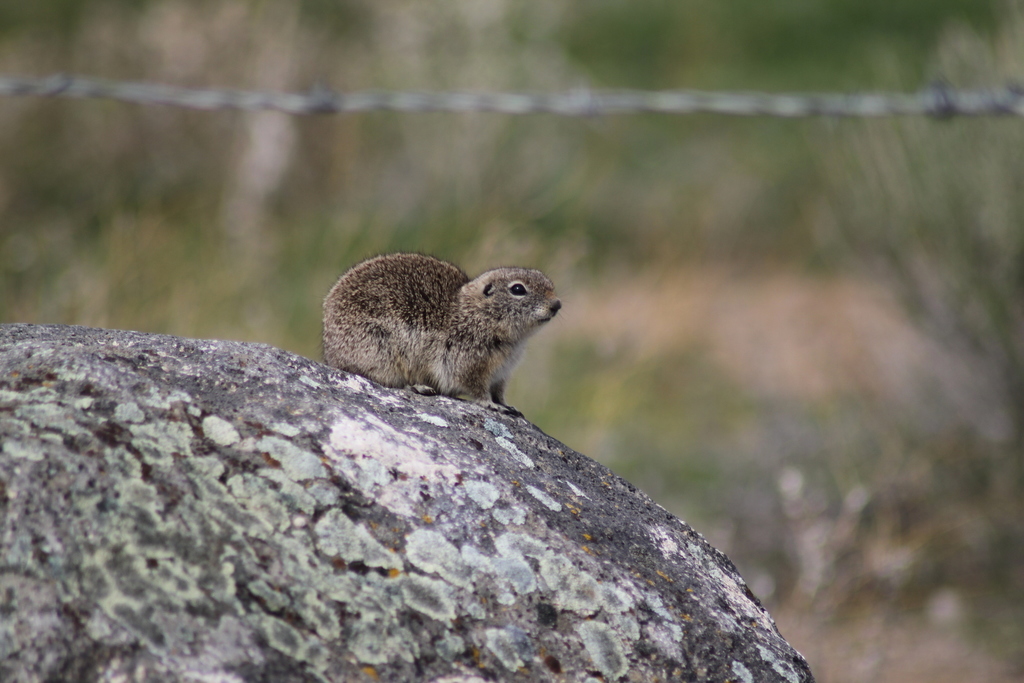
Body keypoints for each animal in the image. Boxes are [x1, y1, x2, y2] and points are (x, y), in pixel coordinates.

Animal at [323, 253, 561, 414]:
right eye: (518, 289)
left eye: (548, 283)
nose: (556, 304)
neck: (477, 315)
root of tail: (330, 354)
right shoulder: (467, 363)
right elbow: (477, 390)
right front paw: (492, 405)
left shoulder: (501, 374)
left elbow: (499, 393)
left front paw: (508, 406)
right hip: (380, 352)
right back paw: (419, 386)